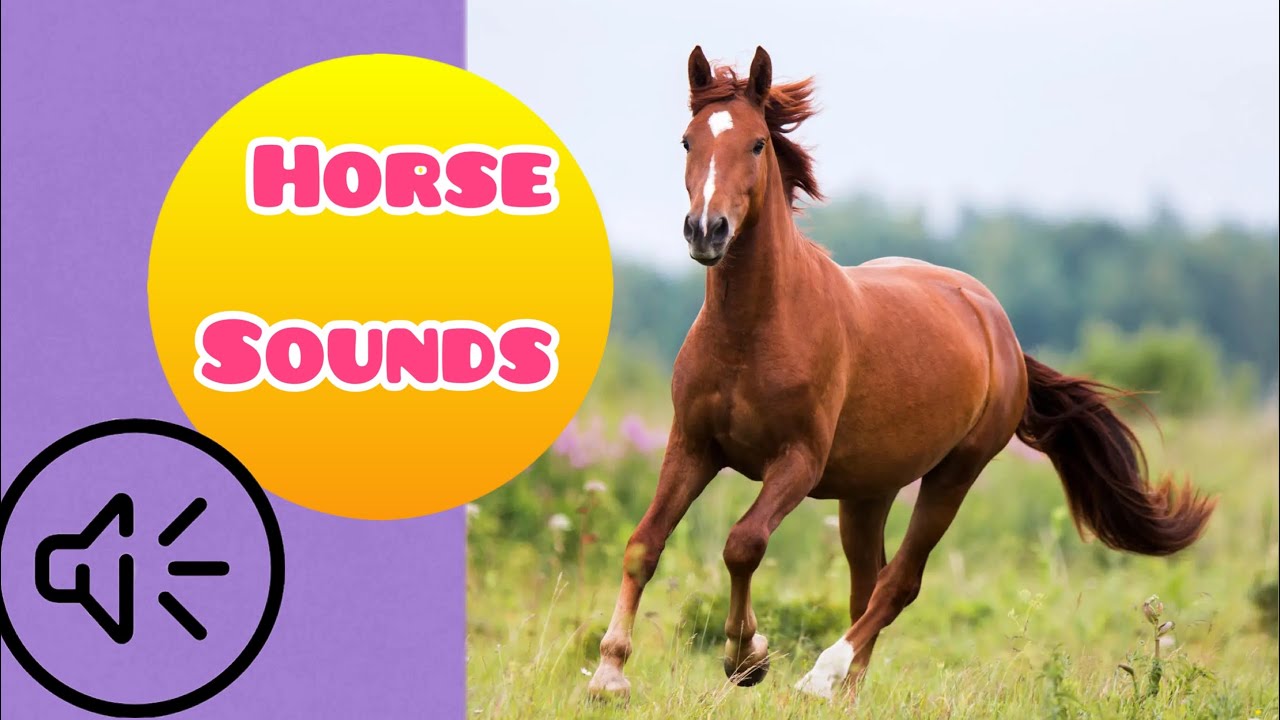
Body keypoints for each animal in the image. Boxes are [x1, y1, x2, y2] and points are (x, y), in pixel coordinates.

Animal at [587, 45, 1216, 703]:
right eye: (688, 141)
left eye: (758, 143)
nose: (706, 231)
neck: (753, 332)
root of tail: (999, 327)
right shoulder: (693, 444)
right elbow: (644, 543)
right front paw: (610, 672)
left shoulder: (797, 461)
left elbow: (744, 544)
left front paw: (746, 657)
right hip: (869, 491)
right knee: (869, 582)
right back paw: (848, 692)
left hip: (954, 475)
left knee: (899, 583)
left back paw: (822, 676)